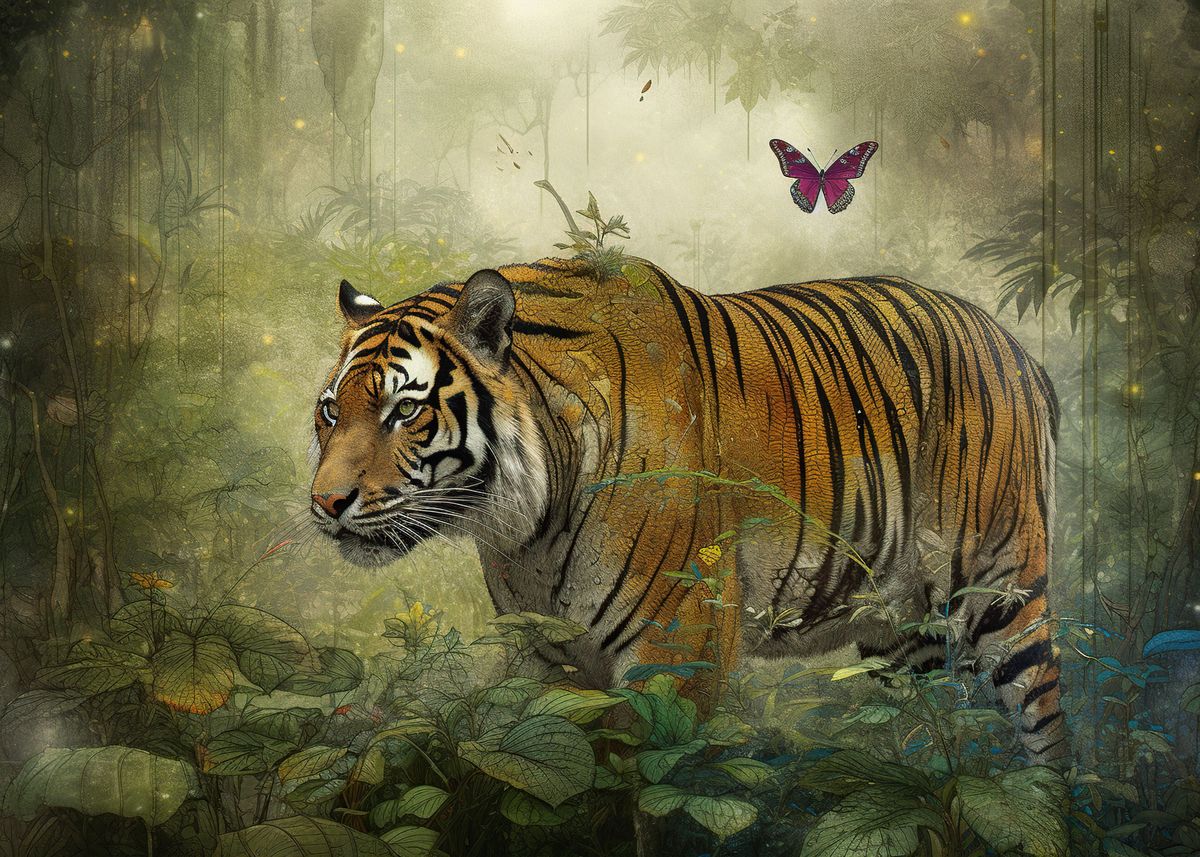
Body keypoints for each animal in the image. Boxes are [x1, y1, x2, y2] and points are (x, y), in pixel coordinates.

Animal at [309, 256, 1066, 763]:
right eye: (330, 411)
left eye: (404, 411)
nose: (325, 501)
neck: (525, 527)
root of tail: (1016, 348)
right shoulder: (545, 654)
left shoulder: (677, 653)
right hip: (901, 635)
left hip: (1003, 593)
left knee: (1046, 735)